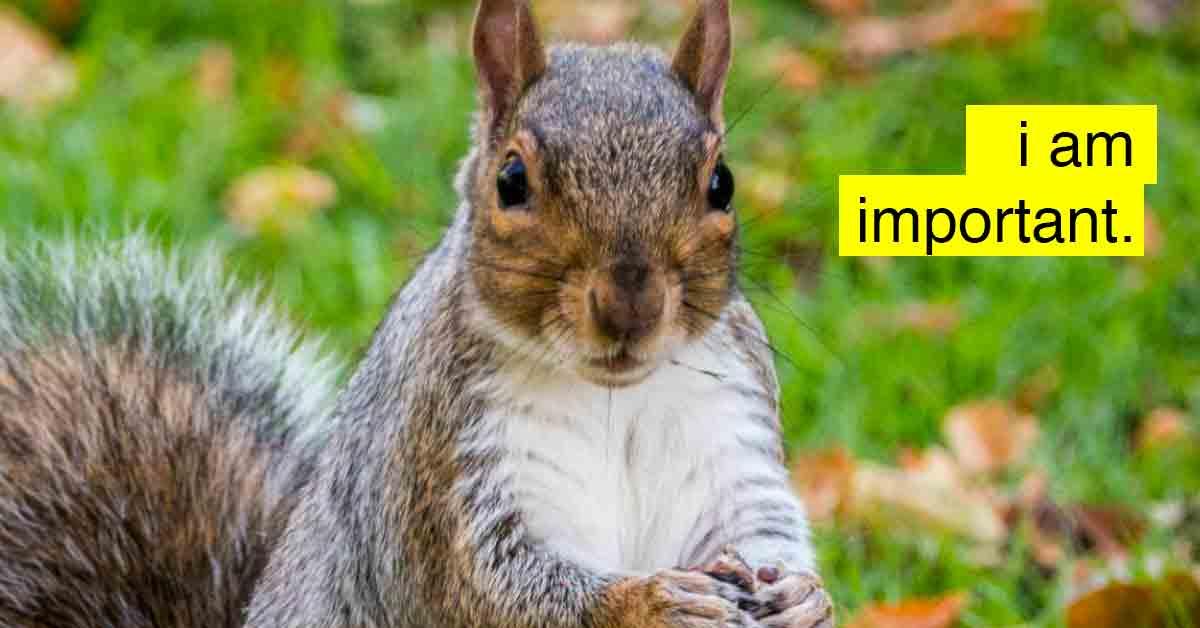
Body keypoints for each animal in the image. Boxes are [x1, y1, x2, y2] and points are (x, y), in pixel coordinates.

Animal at [0, 1, 834, 627]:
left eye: (722, 183)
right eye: (511, 180)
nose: (630, 305)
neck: (613, 399)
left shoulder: (729, 430)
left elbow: (759, 521)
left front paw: (804, 597)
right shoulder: (439, 464)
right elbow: (492, 589)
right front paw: (648, 601)